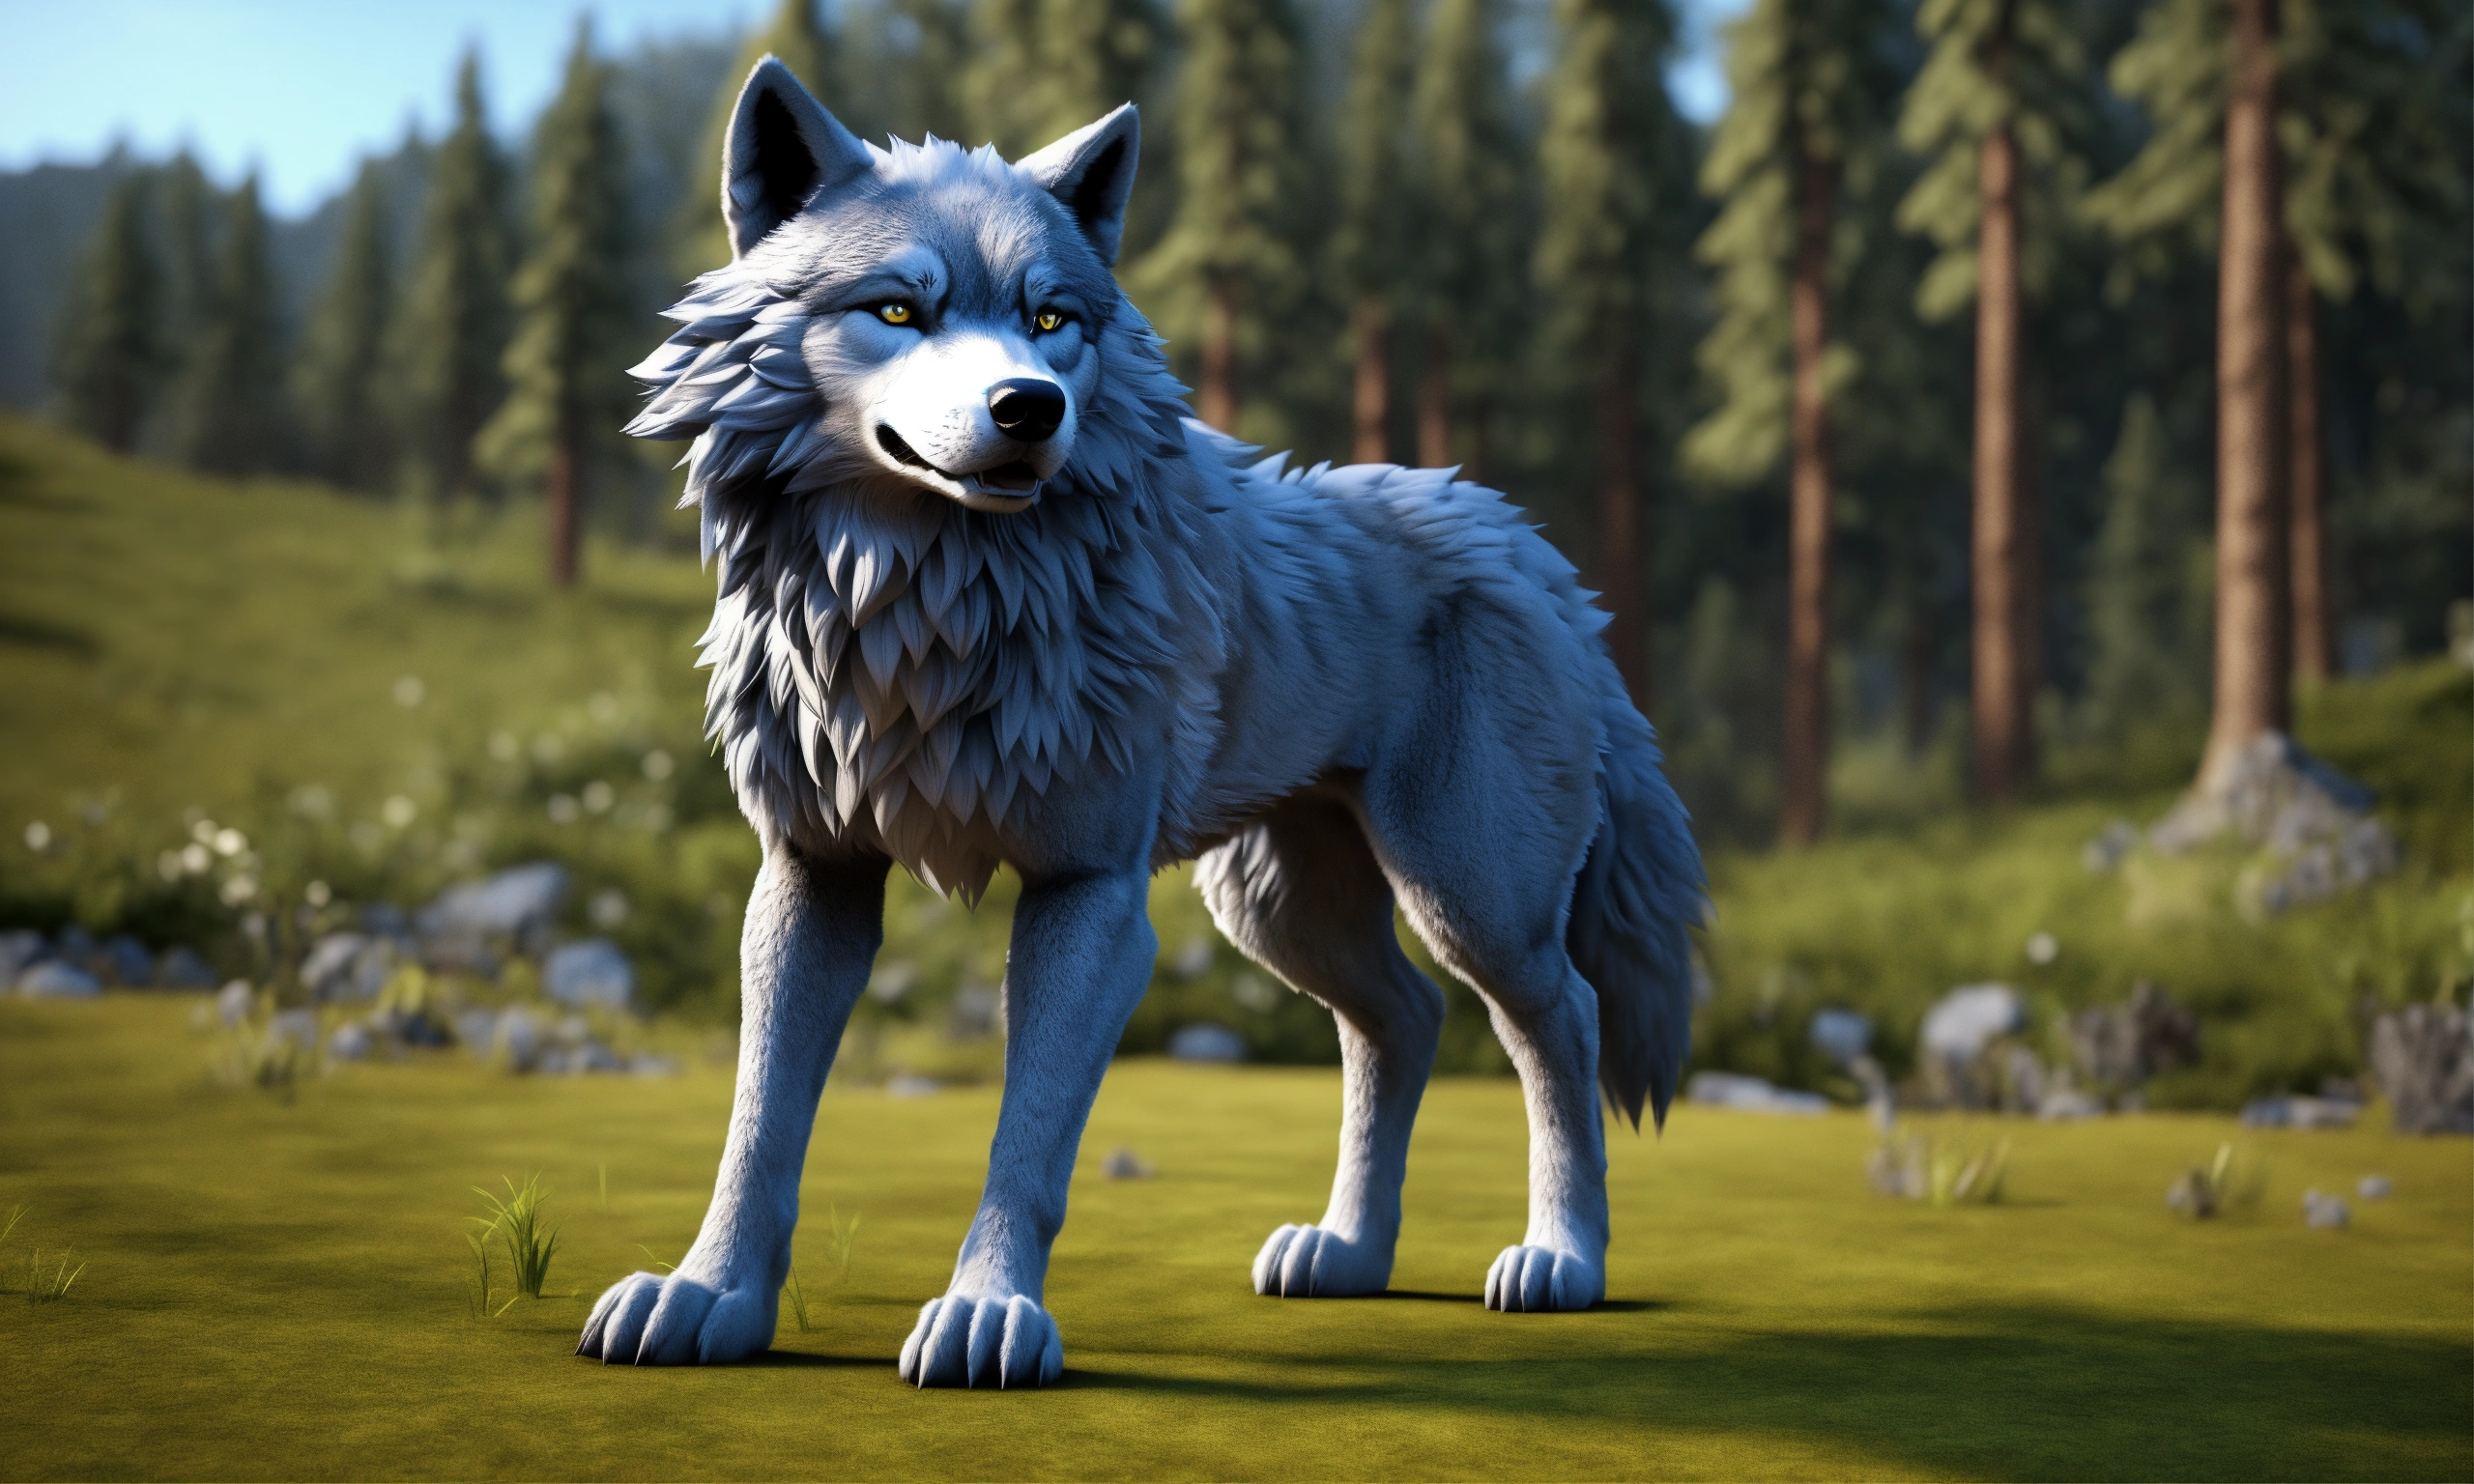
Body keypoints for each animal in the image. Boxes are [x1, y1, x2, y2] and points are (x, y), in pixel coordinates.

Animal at [576, 57, 1705, 1388]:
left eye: (1052, 319)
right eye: (900, 309)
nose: (1028, 407)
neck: (921, 611)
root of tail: (1542, 558)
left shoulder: (1088, 892)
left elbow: (1028, 1138)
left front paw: (987, 1317)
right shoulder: (813, 873)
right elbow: (757, 1125)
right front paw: (708, 1297)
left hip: (1469, 894)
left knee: (1558, 1017)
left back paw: (1561, 1261)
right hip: (1281, 908)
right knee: (1403, 1020)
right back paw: (1347, 1253)